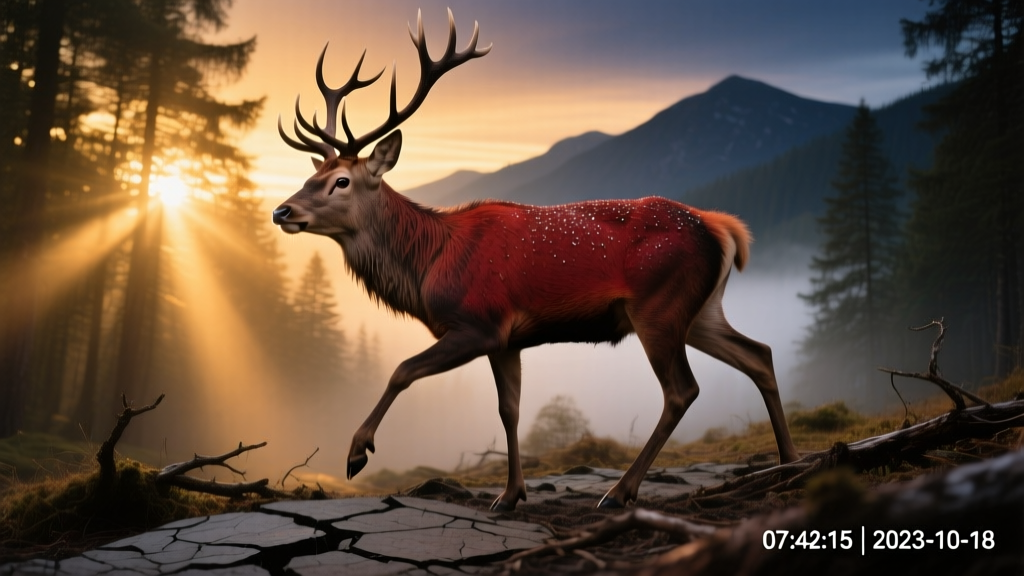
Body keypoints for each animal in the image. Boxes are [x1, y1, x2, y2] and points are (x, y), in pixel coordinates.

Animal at [272, 9, 801, 511]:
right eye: (311, 174)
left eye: (341, 181)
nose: (282, 210)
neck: (430, 264)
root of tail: (721, 227)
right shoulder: (508, 340)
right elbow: (511, 411)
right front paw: (509, 495)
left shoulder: (479, 322)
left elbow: (402, 369)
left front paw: (357, 452)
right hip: (701, 310)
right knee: (759, 354)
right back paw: (790, 465)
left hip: (660, 306)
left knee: (682, 390)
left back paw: (620, 491)